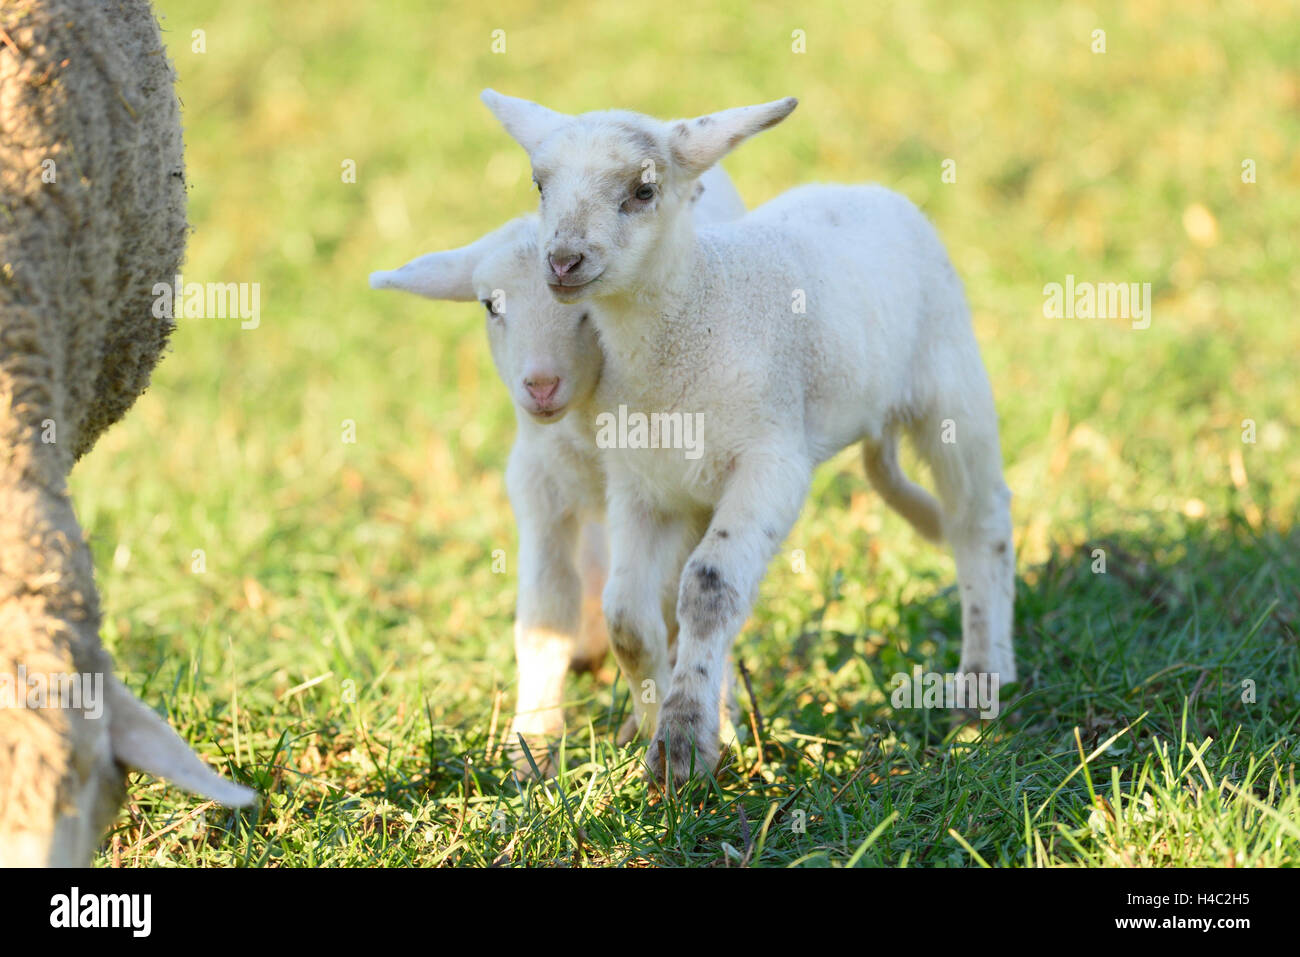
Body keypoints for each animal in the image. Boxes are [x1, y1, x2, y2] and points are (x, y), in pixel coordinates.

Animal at [370, 166, 744, 775]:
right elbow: (545, 613)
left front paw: (711, 720)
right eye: (490, 306)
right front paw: (532, 744)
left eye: (591, 312)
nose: (540, 386)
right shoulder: (539, 489)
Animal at [479, 89, 1017, 784]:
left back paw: (983, 681)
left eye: (644, 190)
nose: (562, 262)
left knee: (982, 524)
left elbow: (707, 588)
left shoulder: (770, 463)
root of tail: (865, 189)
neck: (693, 318)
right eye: (539, 184)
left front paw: (685, 747)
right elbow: (625, 616)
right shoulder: (642, 487)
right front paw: (659, 724)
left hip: (951, 384)